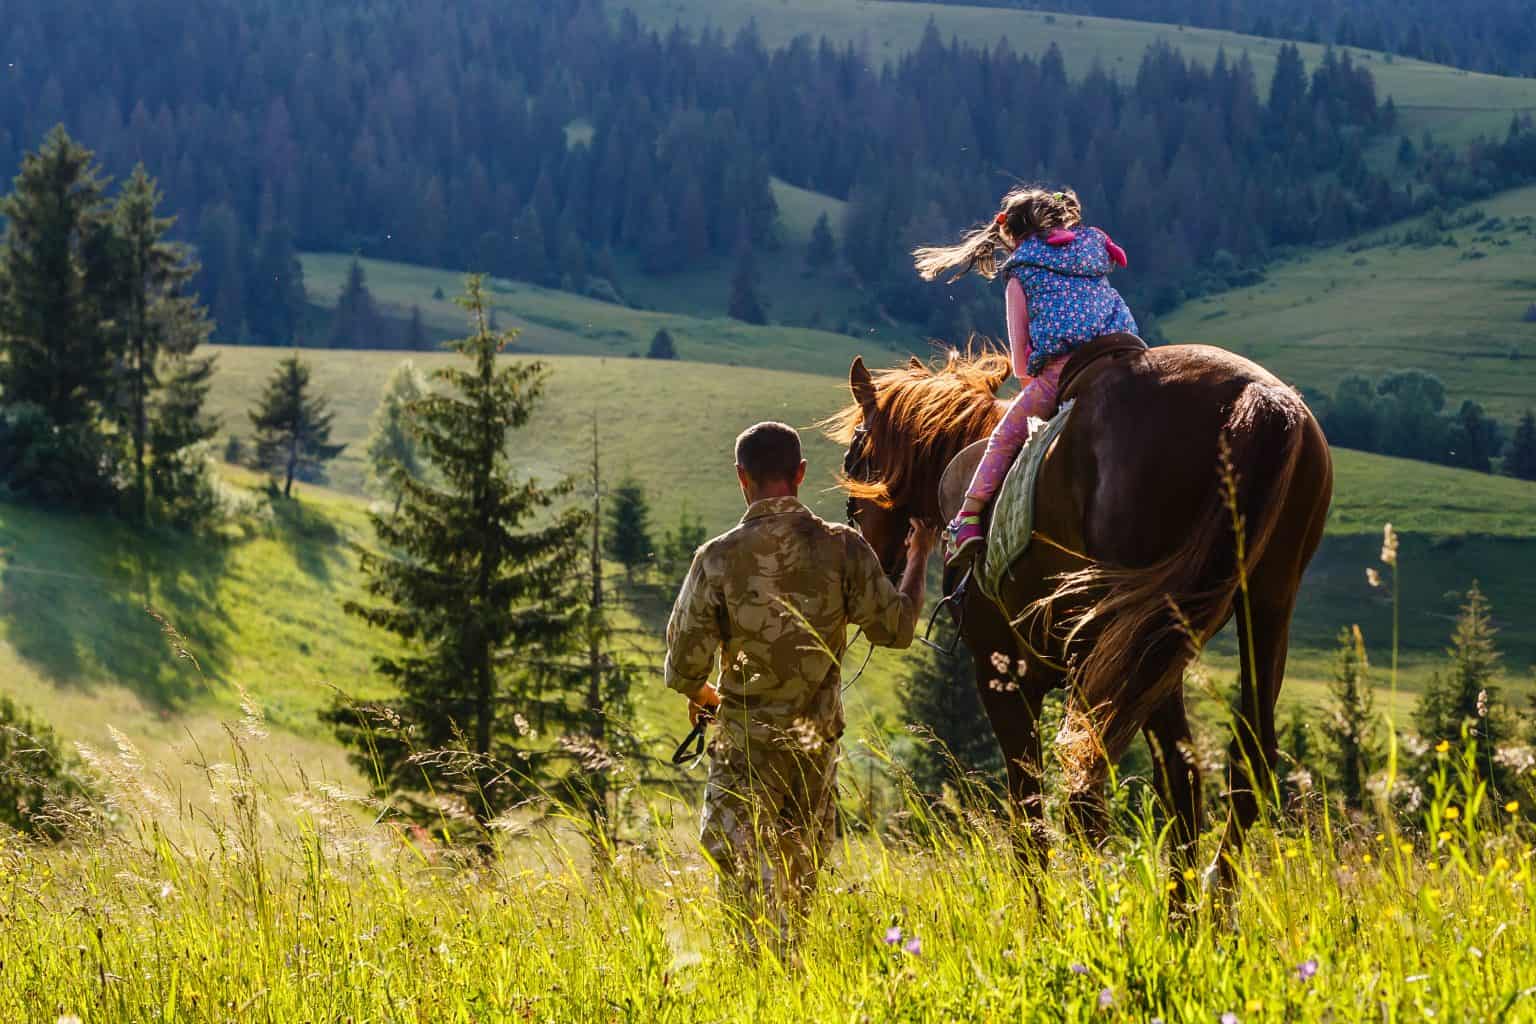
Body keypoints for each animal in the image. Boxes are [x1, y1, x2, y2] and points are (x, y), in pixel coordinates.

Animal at [825, 340, 1333, 894]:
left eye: (855, 456)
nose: (871, 554)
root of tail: (1254, 397)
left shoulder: (1003, 674)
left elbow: (1030, 815)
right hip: (1256, 609)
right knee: (1234, 765)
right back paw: (1207, 901)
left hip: (1137, 637)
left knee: (1112, 783)